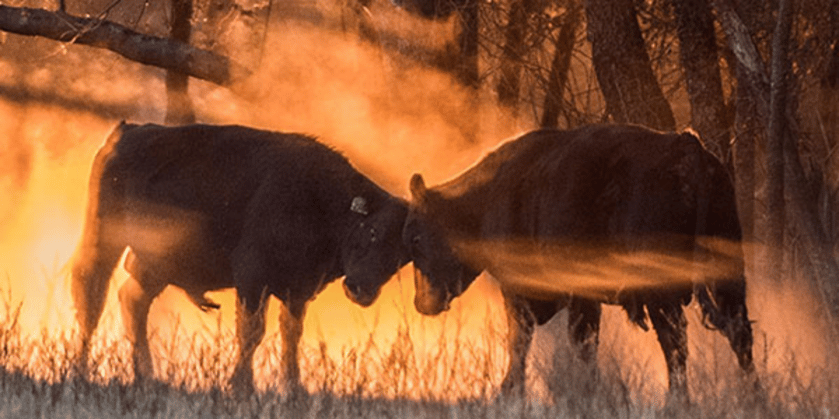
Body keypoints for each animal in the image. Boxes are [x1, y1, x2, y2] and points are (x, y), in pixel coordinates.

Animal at [71, 122, 409, 393]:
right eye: (373, 231)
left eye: (402, 255)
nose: (361, 289)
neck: (323, 199)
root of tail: (127, 132)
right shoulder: (252, 278)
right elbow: (251, 332)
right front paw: (242, 386)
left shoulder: (298, 291)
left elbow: (290, 334)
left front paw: (293, 388)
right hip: (102, 239)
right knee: (91, 296)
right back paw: (80, 372)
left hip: (155, 263)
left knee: (133, 301)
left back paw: (146, 377)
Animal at [403, 124, 755, 399]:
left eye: (416, 238)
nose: (421, 302)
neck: (490, 195)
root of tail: (687, 145)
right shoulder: (583, 297)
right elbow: (581, 343)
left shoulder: (525, 290)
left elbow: (527, 340)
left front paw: (510, 392)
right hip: (729, 277)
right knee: (739, 333)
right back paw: (753, 394)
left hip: (661, 290)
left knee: (675, 341)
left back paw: (679, 401)